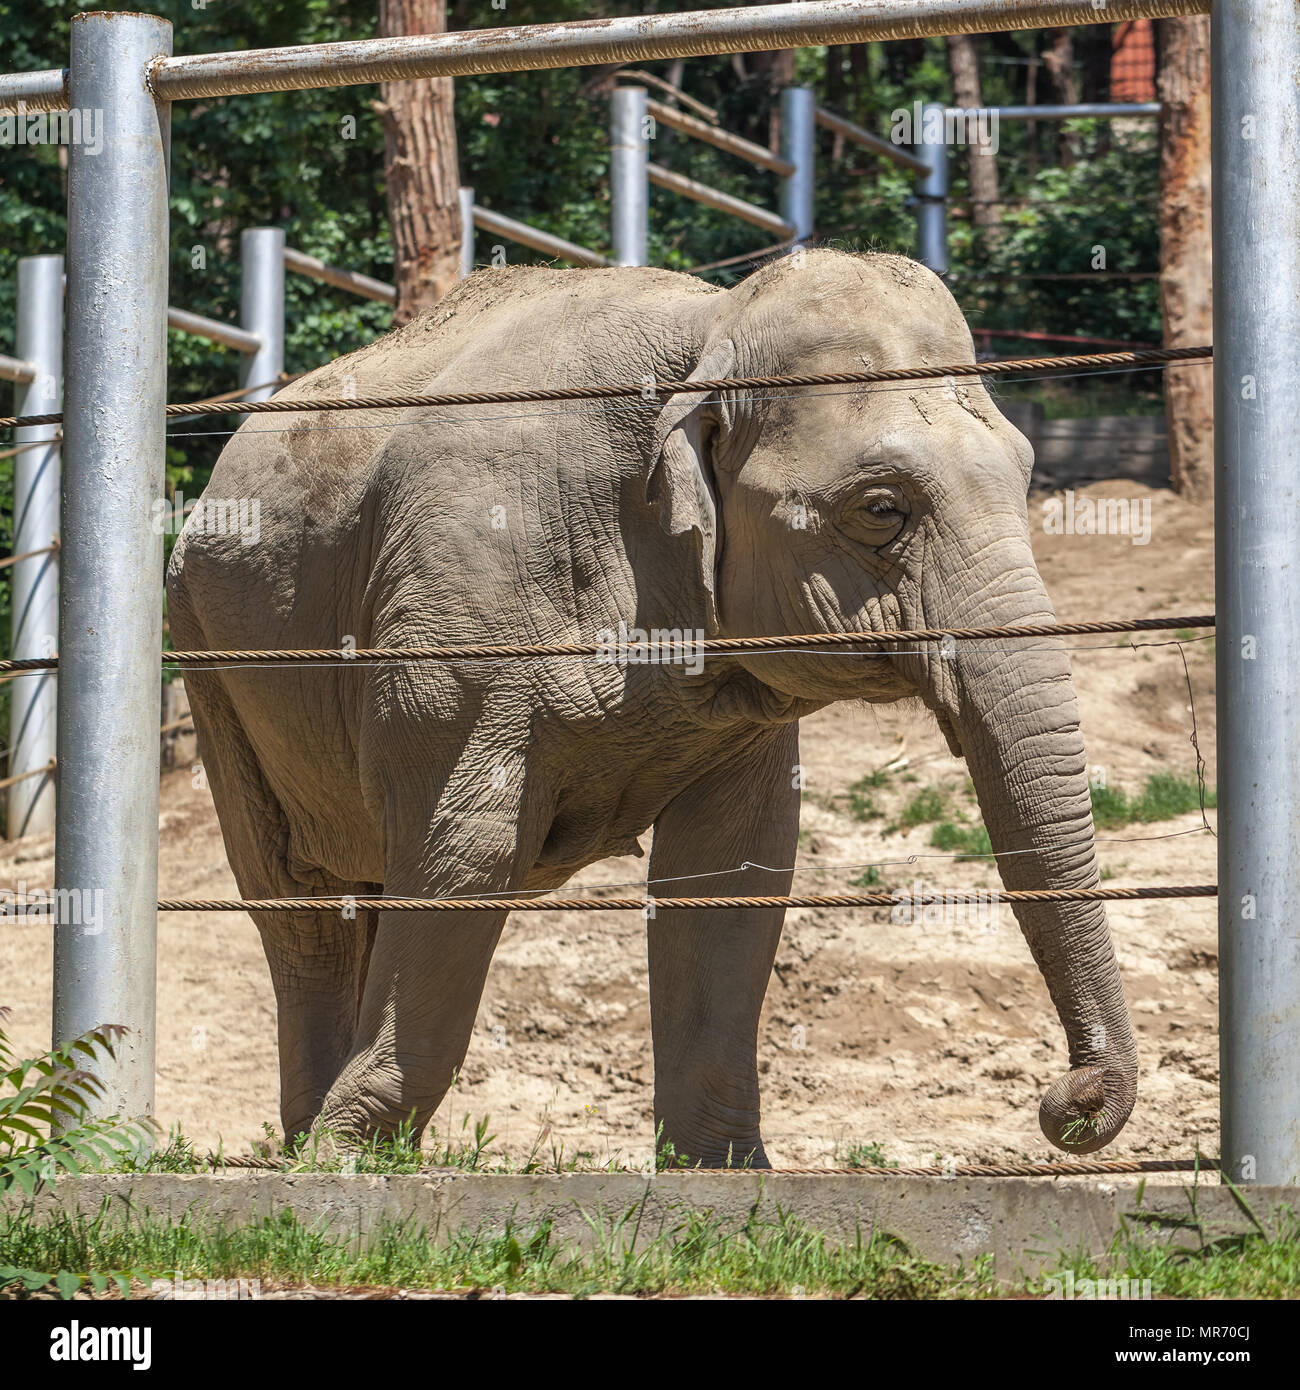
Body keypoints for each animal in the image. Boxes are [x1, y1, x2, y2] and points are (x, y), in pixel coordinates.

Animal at [166, 248, 1137, 1166]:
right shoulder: (456, 619)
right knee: (298, 906)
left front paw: (727, 1178)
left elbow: (732, 870)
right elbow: (464, 856)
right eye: (882, 507)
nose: (1069, 1101)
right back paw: (306, 1144)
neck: (708, 329)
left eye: (1026, 477)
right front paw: (348, 1164)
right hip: (208, 657)